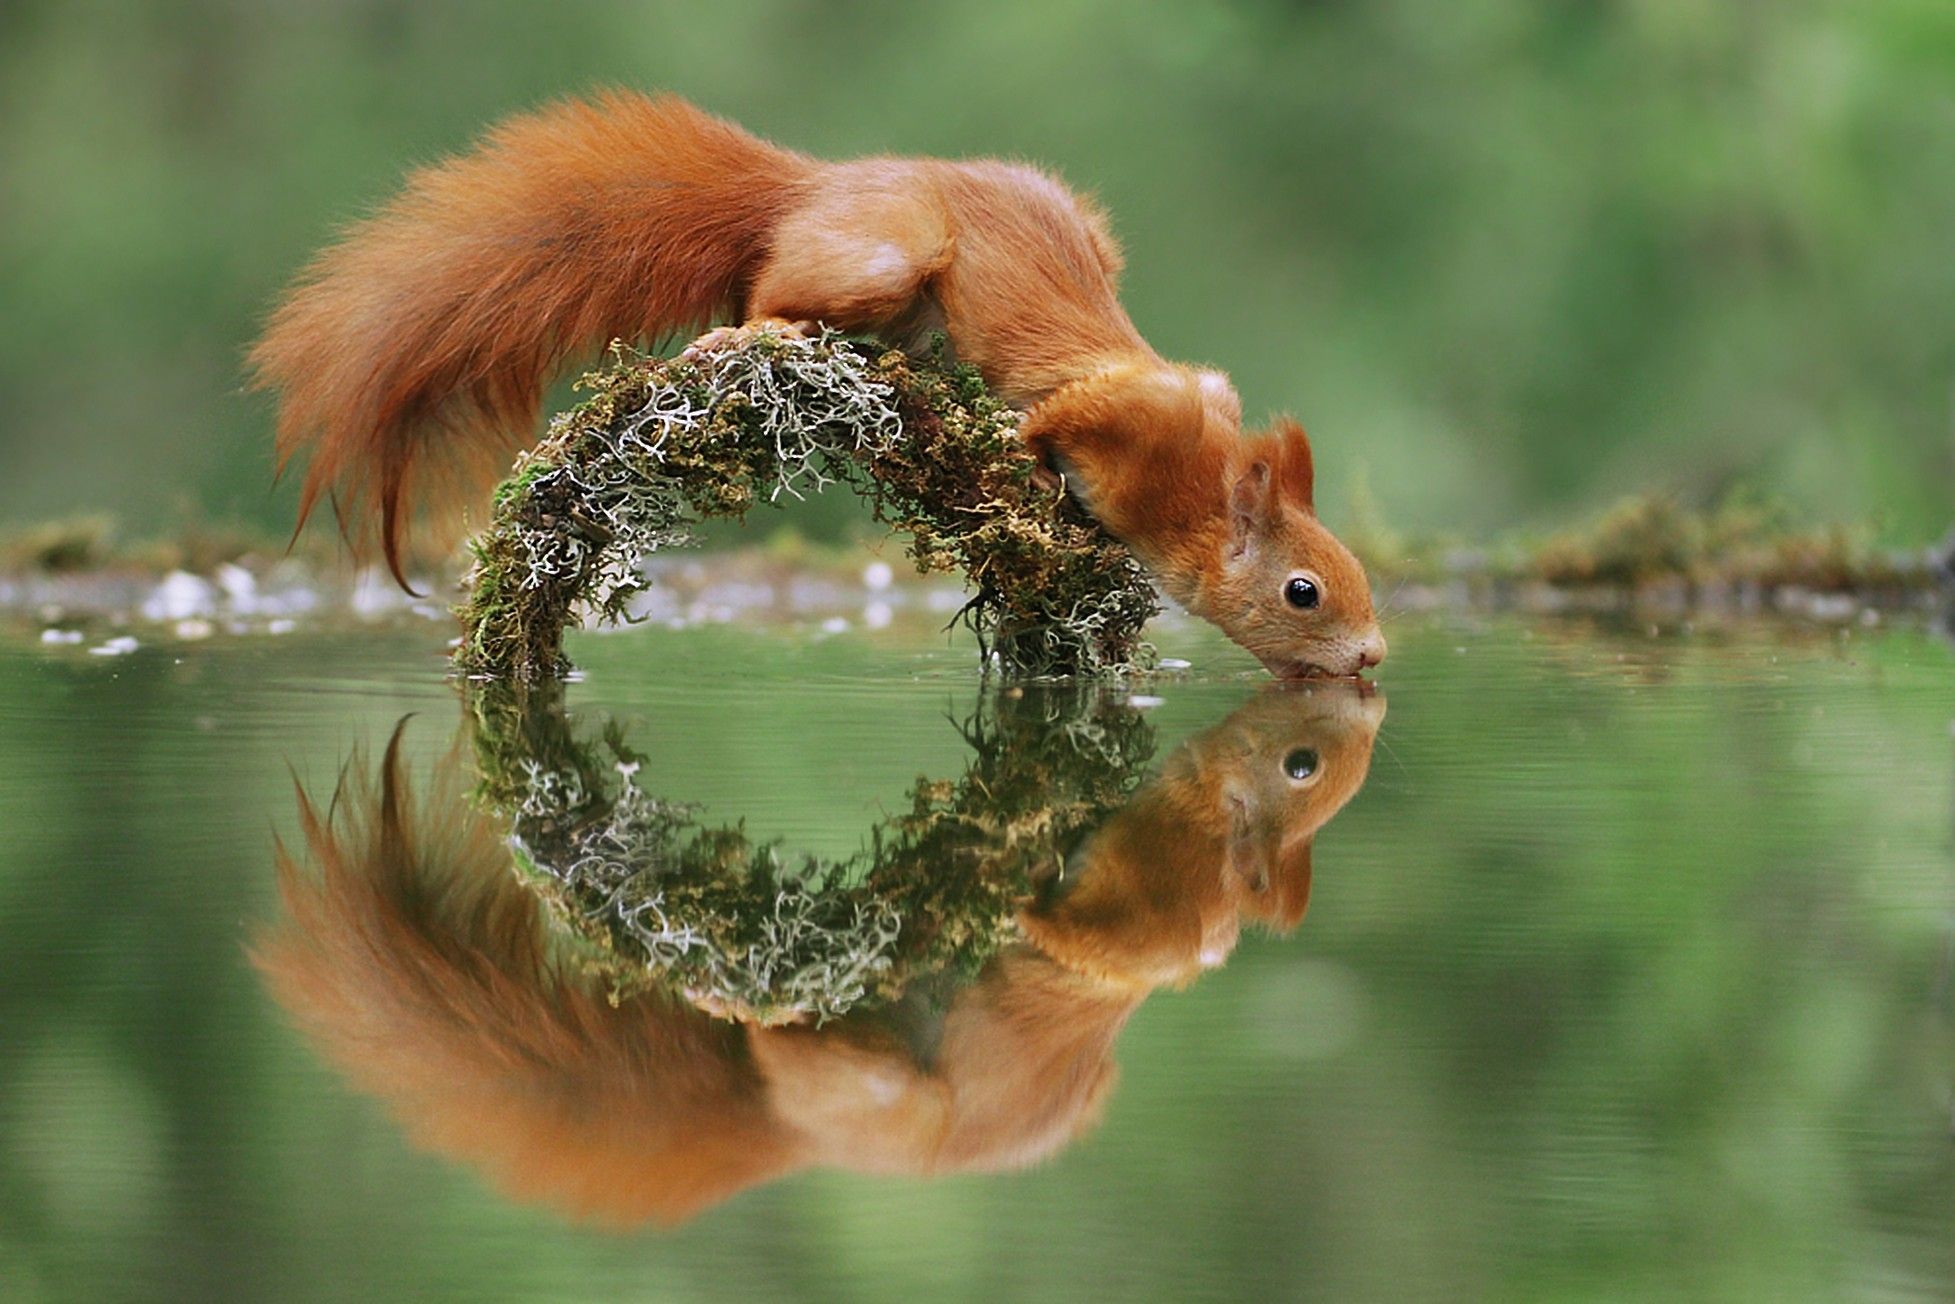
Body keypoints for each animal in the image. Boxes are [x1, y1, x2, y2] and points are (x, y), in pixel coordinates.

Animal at [251, 92, 1386, 678]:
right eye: (1303, 590)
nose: (1373, 658)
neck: (1197, 482)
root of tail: (822, 188)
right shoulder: (1127, 411)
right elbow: (1053, 421)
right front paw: (1028, 469)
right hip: (884, 256)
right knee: (767, 292)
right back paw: (750, 331)